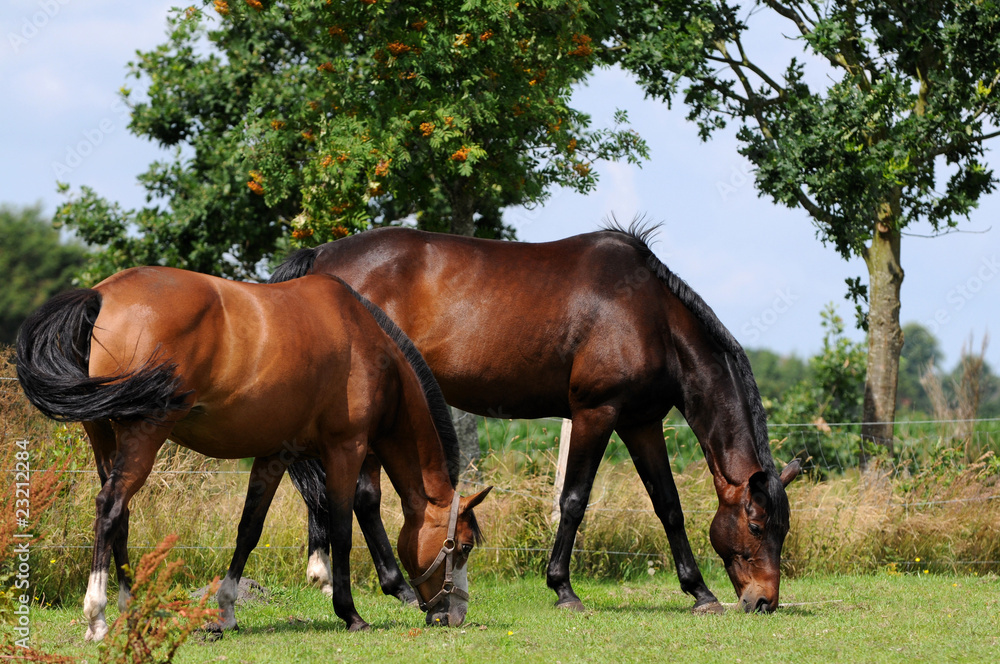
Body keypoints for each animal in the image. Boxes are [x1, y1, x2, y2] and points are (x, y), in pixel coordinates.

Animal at [15, 267, 490, 640]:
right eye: (463, 546)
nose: (454, 616)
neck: (365, 342)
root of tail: (101, 295)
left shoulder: (276, 454)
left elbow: (249, 529)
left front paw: (225, 611)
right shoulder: (347, 448)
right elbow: (343, 526)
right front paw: (351, 613)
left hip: (103, 435)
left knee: (121, 516)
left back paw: (133, 612)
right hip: (143, 433)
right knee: (110, 507)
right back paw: (97, 616)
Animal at [273, 221, 801, 614]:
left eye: (783, 530)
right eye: (756, 527)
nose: (764, 602)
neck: (650, 314)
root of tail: (321, 256)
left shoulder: (641, 423)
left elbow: (668, 505)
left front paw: (700, 592)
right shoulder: (595, 413)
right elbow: (574, 500)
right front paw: (563, 588)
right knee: (363, 497)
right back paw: (396, 586)